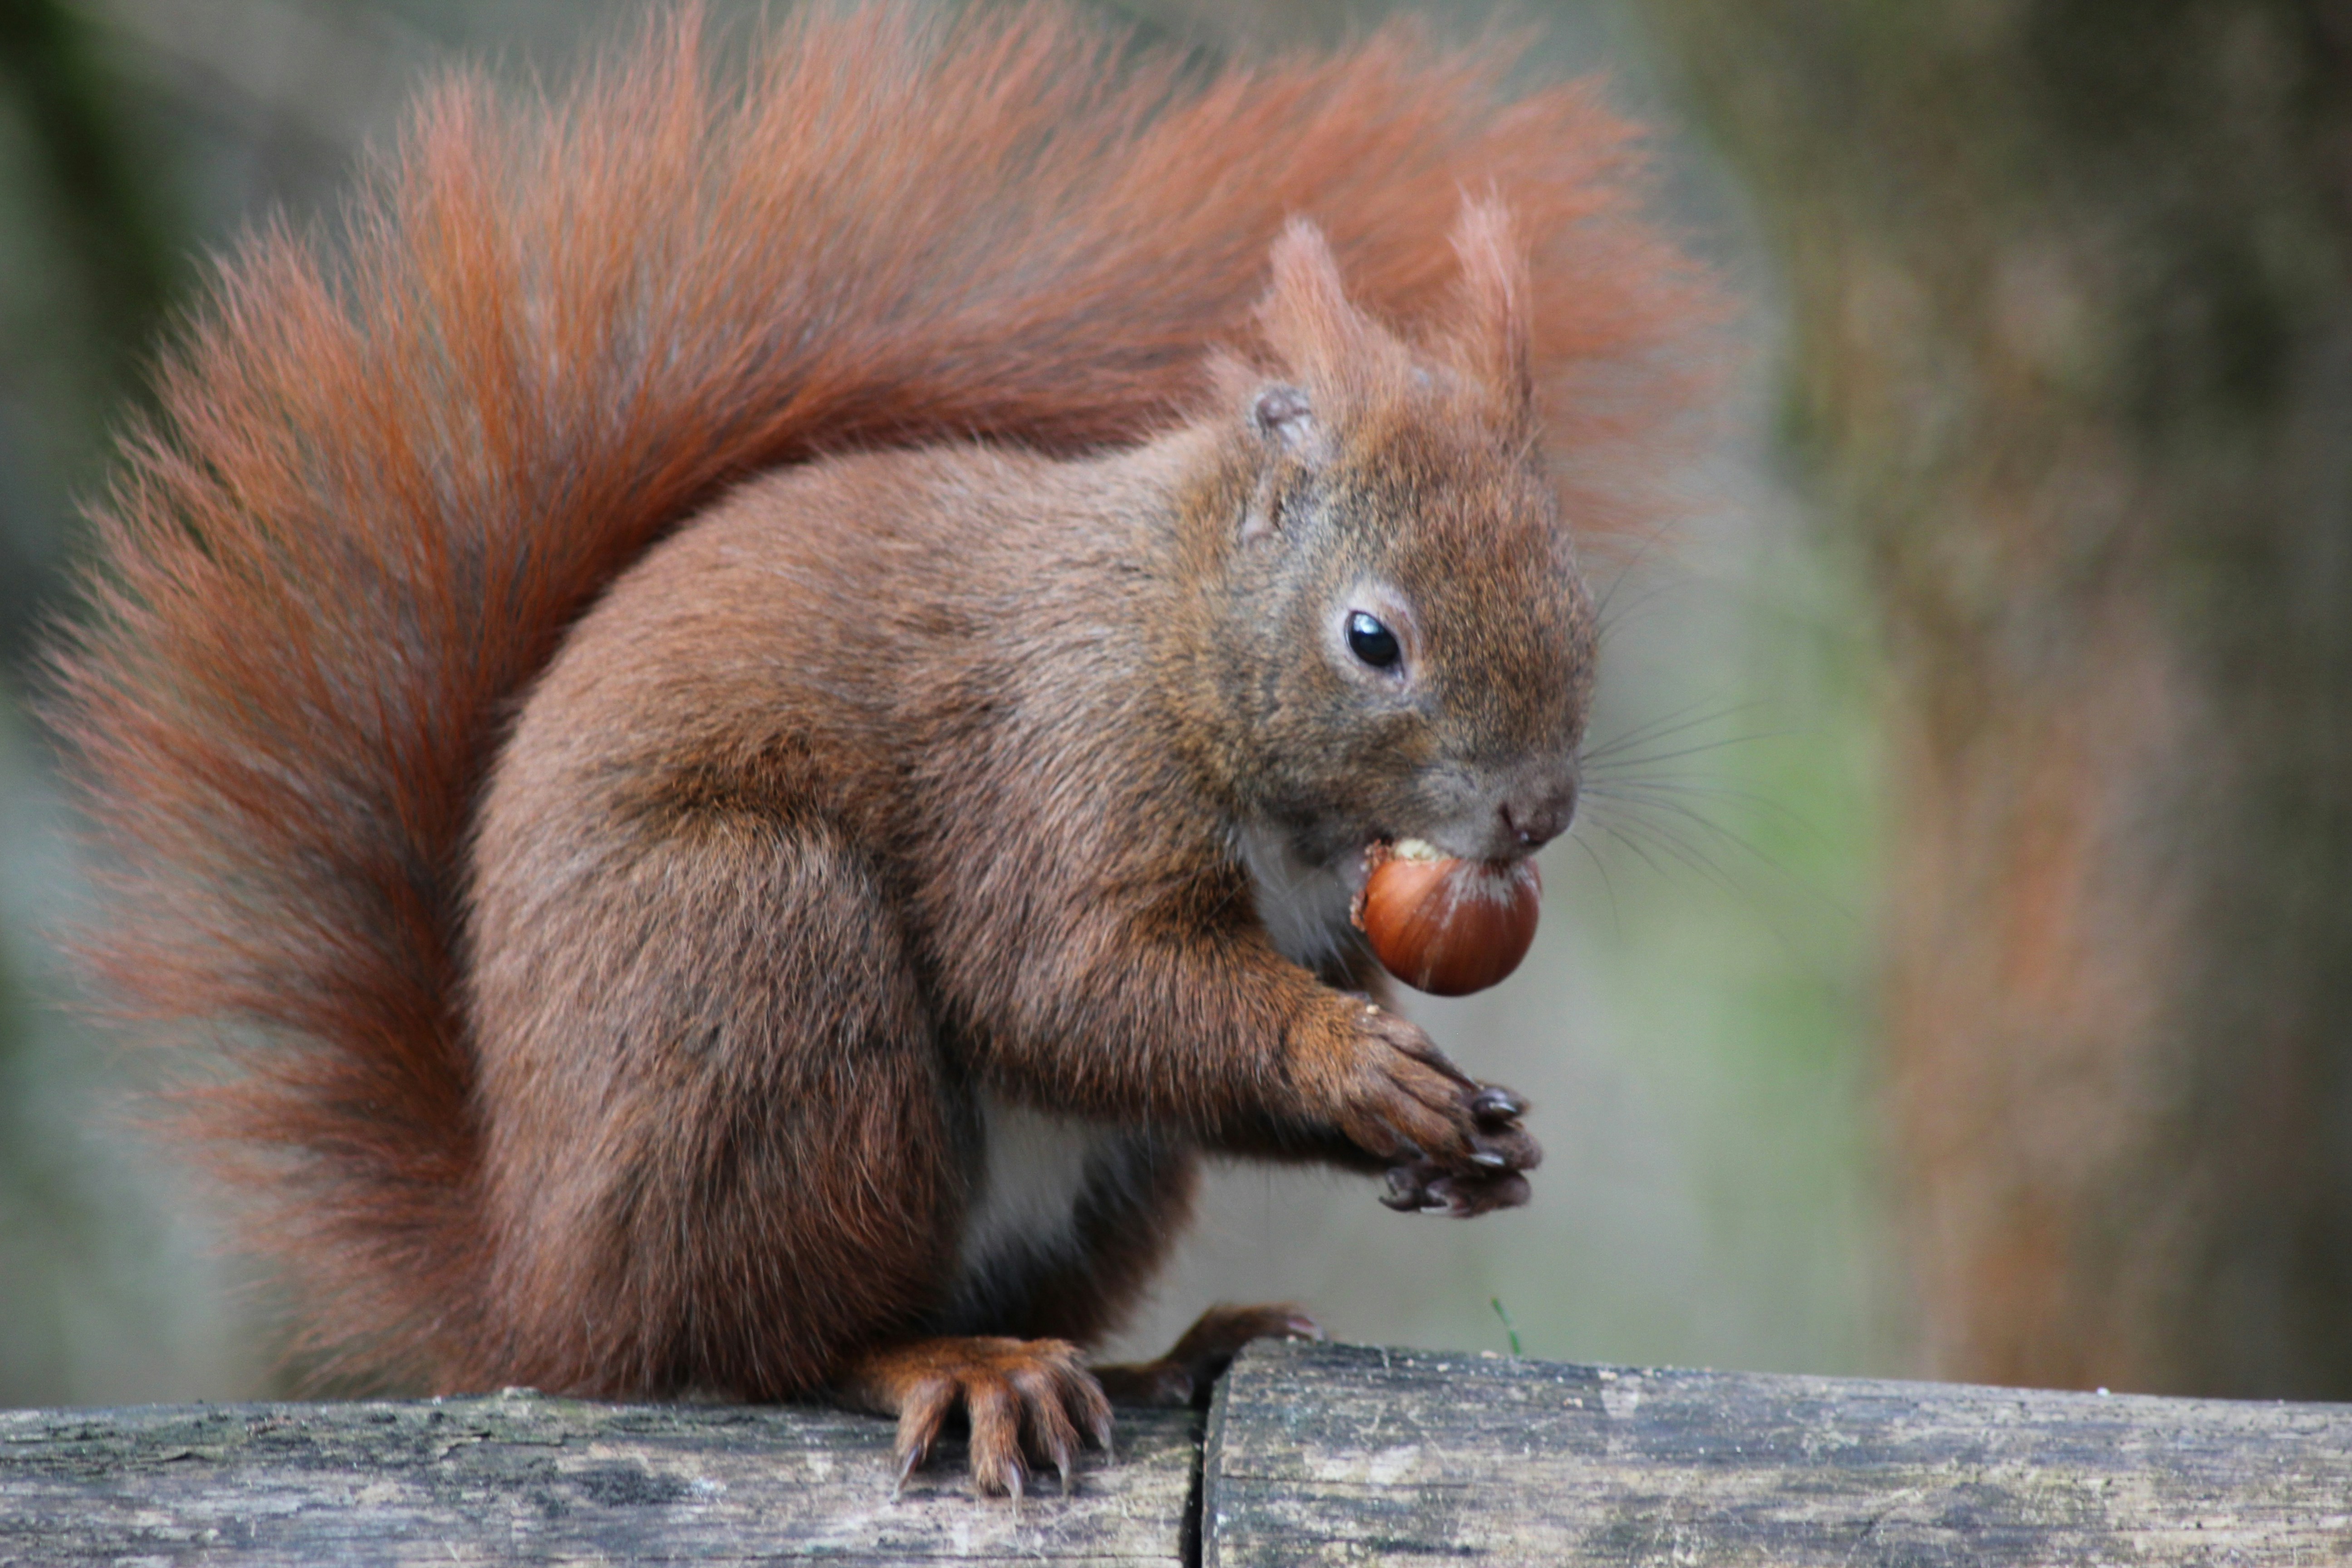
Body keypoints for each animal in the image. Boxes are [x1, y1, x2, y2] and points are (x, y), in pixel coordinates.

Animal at [44, 3, 1702, 1496]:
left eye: (1570, 592)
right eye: (1371, 638)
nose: (1536, 812)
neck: (1179, 639)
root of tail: (543, 1286)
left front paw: (1472, 1137)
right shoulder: (1054, 768)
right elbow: (1064, 982)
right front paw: (1353, 1063)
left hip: (1080, 1174)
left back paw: (1159, 1360)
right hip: (760, 960)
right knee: (766, 1347)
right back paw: (954, 1366)